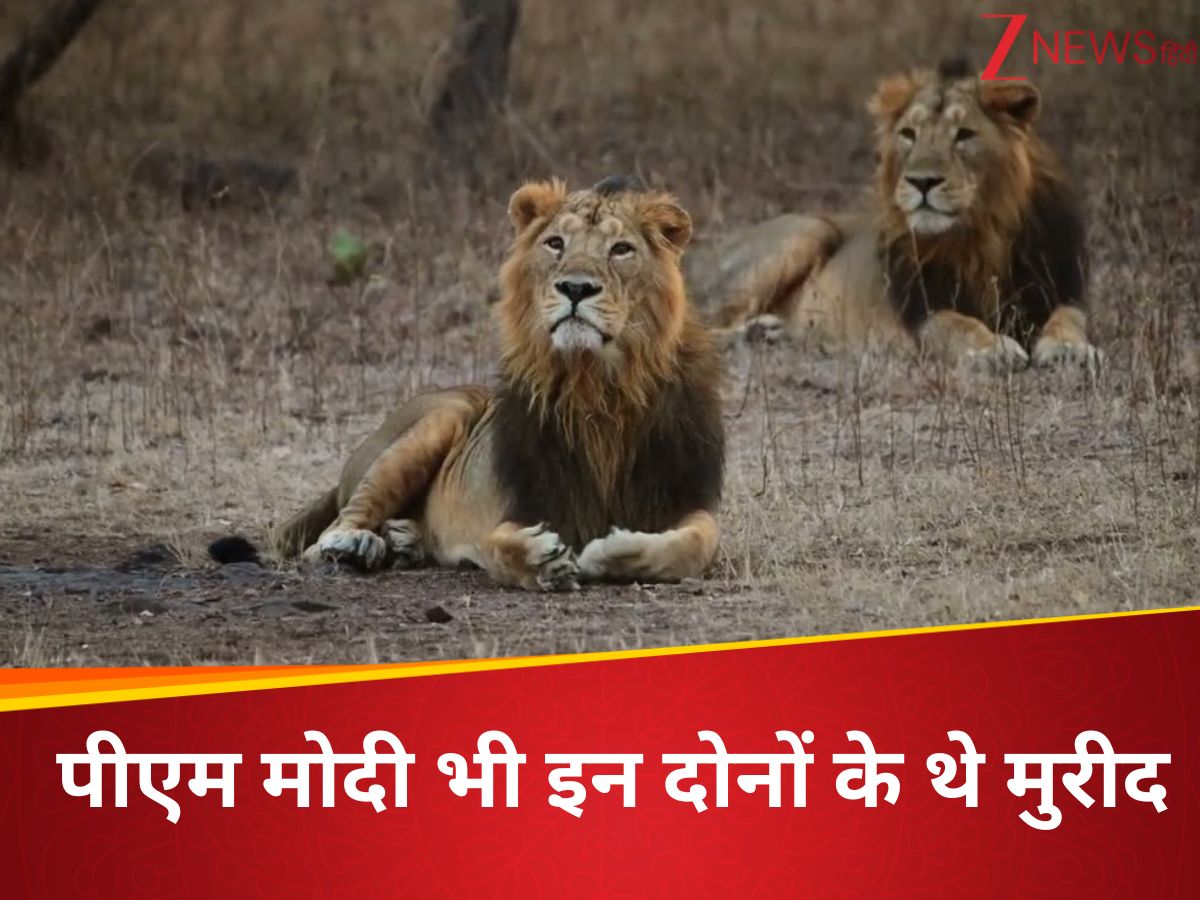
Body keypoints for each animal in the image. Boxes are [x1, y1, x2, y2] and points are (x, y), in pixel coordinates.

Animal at [258, 177, 724, 591]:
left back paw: (402, 540)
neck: (595, 385)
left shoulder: (683, 496)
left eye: (621, 249)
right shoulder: (513, 508)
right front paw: (540, 562)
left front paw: (610, 550)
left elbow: (697, 542)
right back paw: (357, 544)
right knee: (326, 535)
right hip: (444, 415)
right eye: (556, 243)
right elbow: (496, 545)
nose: (575, 287)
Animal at [684, 60, 1100, 372]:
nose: (922, 181)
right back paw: (757, 333)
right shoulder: (923, 310)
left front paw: (1069, 349)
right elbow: (959, 324)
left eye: (964, 134)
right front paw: (990, 349)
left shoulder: (1060, 287)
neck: (982, 235)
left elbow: (1070, 317)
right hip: (808, 230)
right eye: (909, 134)